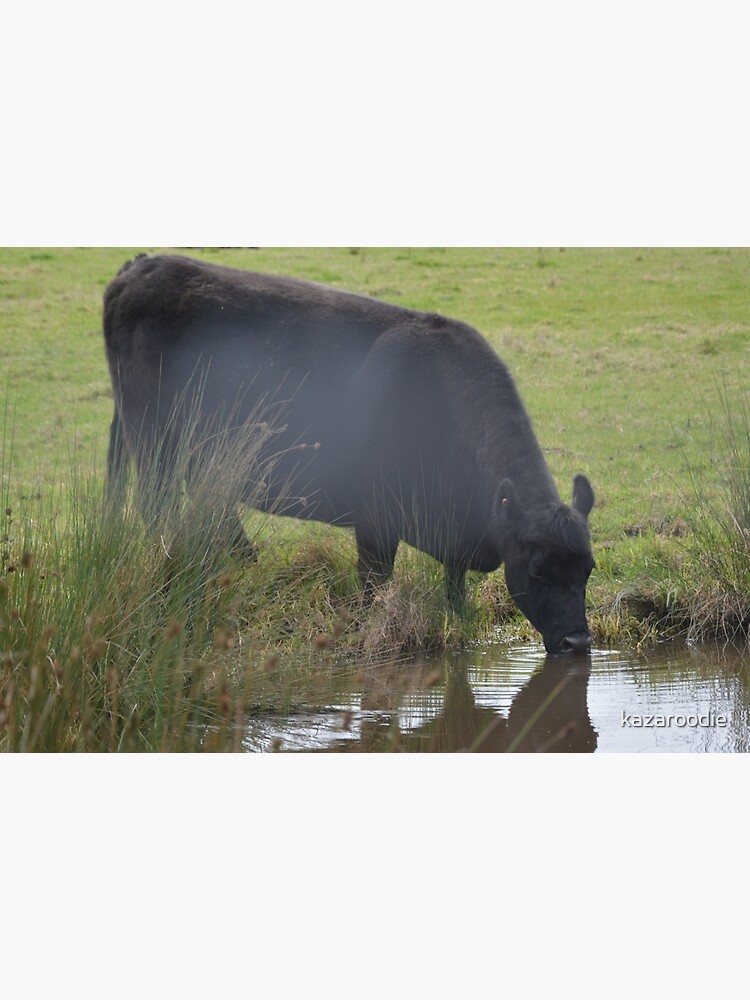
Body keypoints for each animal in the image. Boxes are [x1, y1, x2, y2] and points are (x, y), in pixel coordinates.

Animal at [103, 254, 596, 655]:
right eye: (537, 570)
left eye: (588, 569)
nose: (577, 642)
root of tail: (141, 265)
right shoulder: (376, 518)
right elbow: (373, 585)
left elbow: (454, 591)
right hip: (154, 443)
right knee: (161, 508)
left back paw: (243, 562)